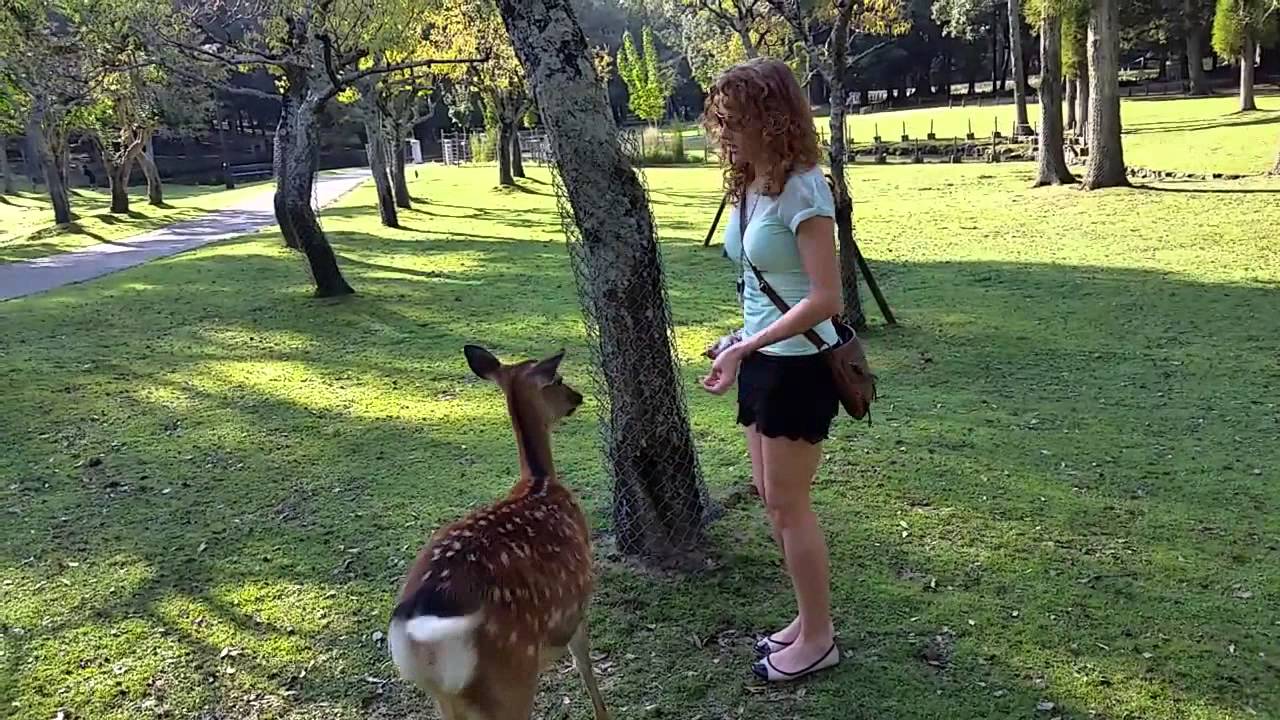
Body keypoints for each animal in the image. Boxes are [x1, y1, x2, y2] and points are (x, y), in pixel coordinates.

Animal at [388, 345, 610, 720]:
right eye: (558, 379)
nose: (577, 397)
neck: (539, 480)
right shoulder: (578, 603)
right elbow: (584, 665)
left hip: (447, 699)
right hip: (512, 676)